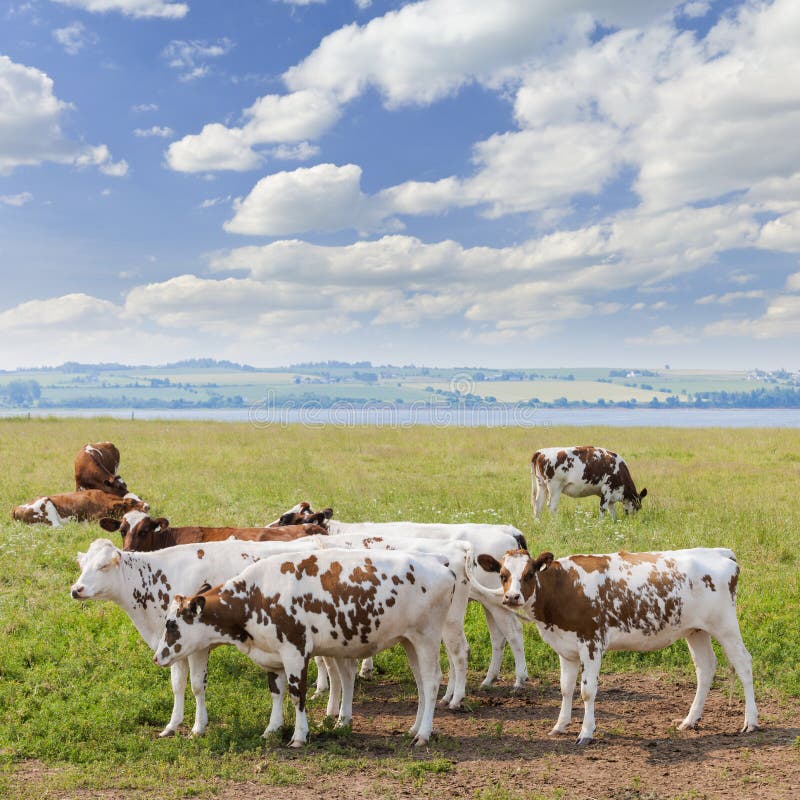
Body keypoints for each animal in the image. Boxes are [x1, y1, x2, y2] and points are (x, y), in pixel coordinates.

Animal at [12, 490, 149, 527]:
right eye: (132, 501)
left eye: (139, 497)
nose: (147, 506)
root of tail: (16, 508)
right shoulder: (95, 520)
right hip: (47, 506)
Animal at [70, 536, 344, 738]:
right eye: (82, 566)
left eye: (103, 566)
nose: (76, 589)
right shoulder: (172, 646)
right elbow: (177, 684)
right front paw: (172, 725)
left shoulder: (197, 646)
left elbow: (196, 686)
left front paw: (198, 727)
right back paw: (331, 711)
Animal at [153, 548, 460, 747]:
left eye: (171, 624)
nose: (157, 657)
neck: (256, 596)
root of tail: (439, 561)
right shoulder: (273, 654)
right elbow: (276, 693)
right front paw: (272, 729)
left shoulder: (295, 652)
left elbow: (296, 694)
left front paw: (299, 736)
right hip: (410, 642)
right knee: (420, 684)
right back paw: (414, 728)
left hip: (427, 637)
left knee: (431, 682)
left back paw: (424, 734)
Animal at [271, 503, 529, 693]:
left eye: (286, 519)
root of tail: (508, 530)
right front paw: (365, 668)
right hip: (489, 603)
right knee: (498, 637)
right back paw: (489, 680)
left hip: (498, 602)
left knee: (514, 633)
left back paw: (519, 680)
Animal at [467, 547, 759, 744]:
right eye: (503, 574)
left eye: (528, 574)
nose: (512, 597)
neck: (564, 587)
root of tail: (719, 552)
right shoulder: (566, 648)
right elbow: (565, 689)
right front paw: (560, 725)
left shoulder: (591, 643)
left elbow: (587, 691)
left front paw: (586, 732)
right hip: (696, 630)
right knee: (705, 668)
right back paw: (690, 720)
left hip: (725, 625)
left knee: (744, 664)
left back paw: (751, 721)